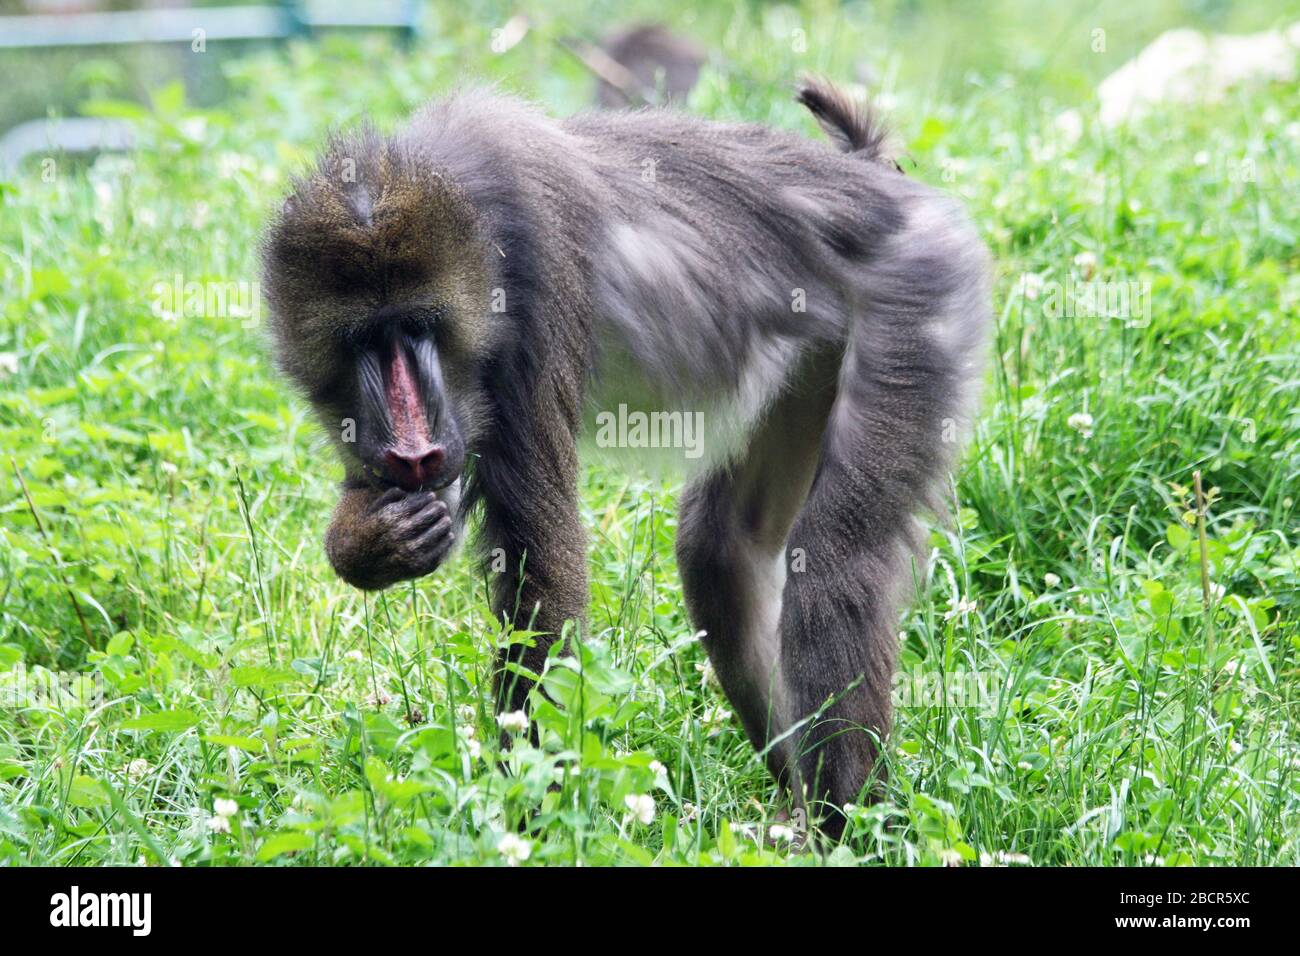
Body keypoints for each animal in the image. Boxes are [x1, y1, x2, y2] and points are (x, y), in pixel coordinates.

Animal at [261, 79, 990, 839]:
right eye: (364, 339)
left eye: (419, 326)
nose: (416, 447)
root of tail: (881, 183)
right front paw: (373, 540)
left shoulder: (527, 301)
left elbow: (543, 575)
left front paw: (525, 826)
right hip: (813, 358)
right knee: (721, 550)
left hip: (915, 306)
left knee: (833, 564)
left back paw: (843, 831)